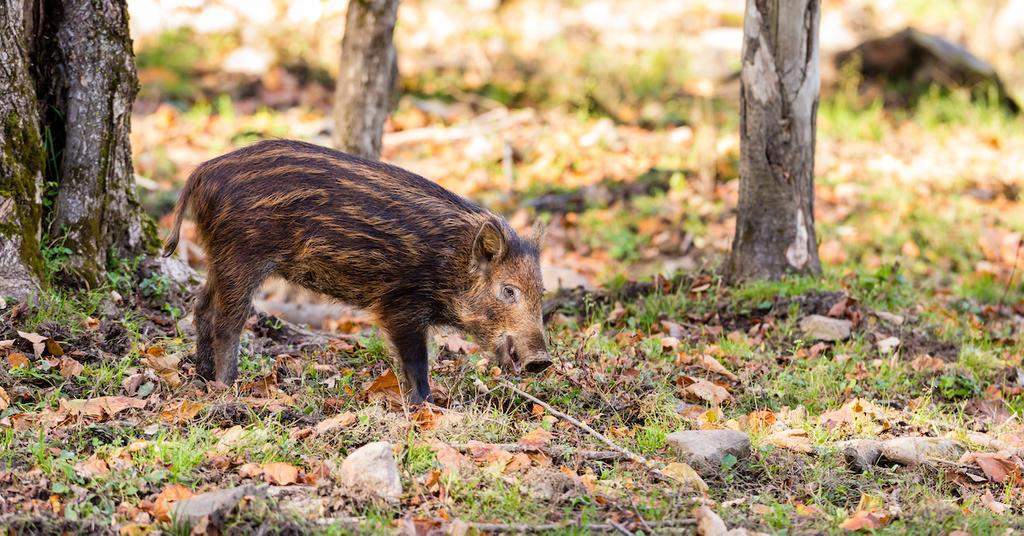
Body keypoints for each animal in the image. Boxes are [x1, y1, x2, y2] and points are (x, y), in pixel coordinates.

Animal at [162, 139, 551, 403]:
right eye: (508, 290)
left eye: (542, 292)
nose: (541, 361)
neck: (451, 264)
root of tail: (201, 171)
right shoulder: (400, 304)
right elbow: (416, 361)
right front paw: (426, 406)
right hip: (240, 257)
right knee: (227, 322)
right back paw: (229, 387)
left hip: (219, 256)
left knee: (201, 307)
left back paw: (203, 375)